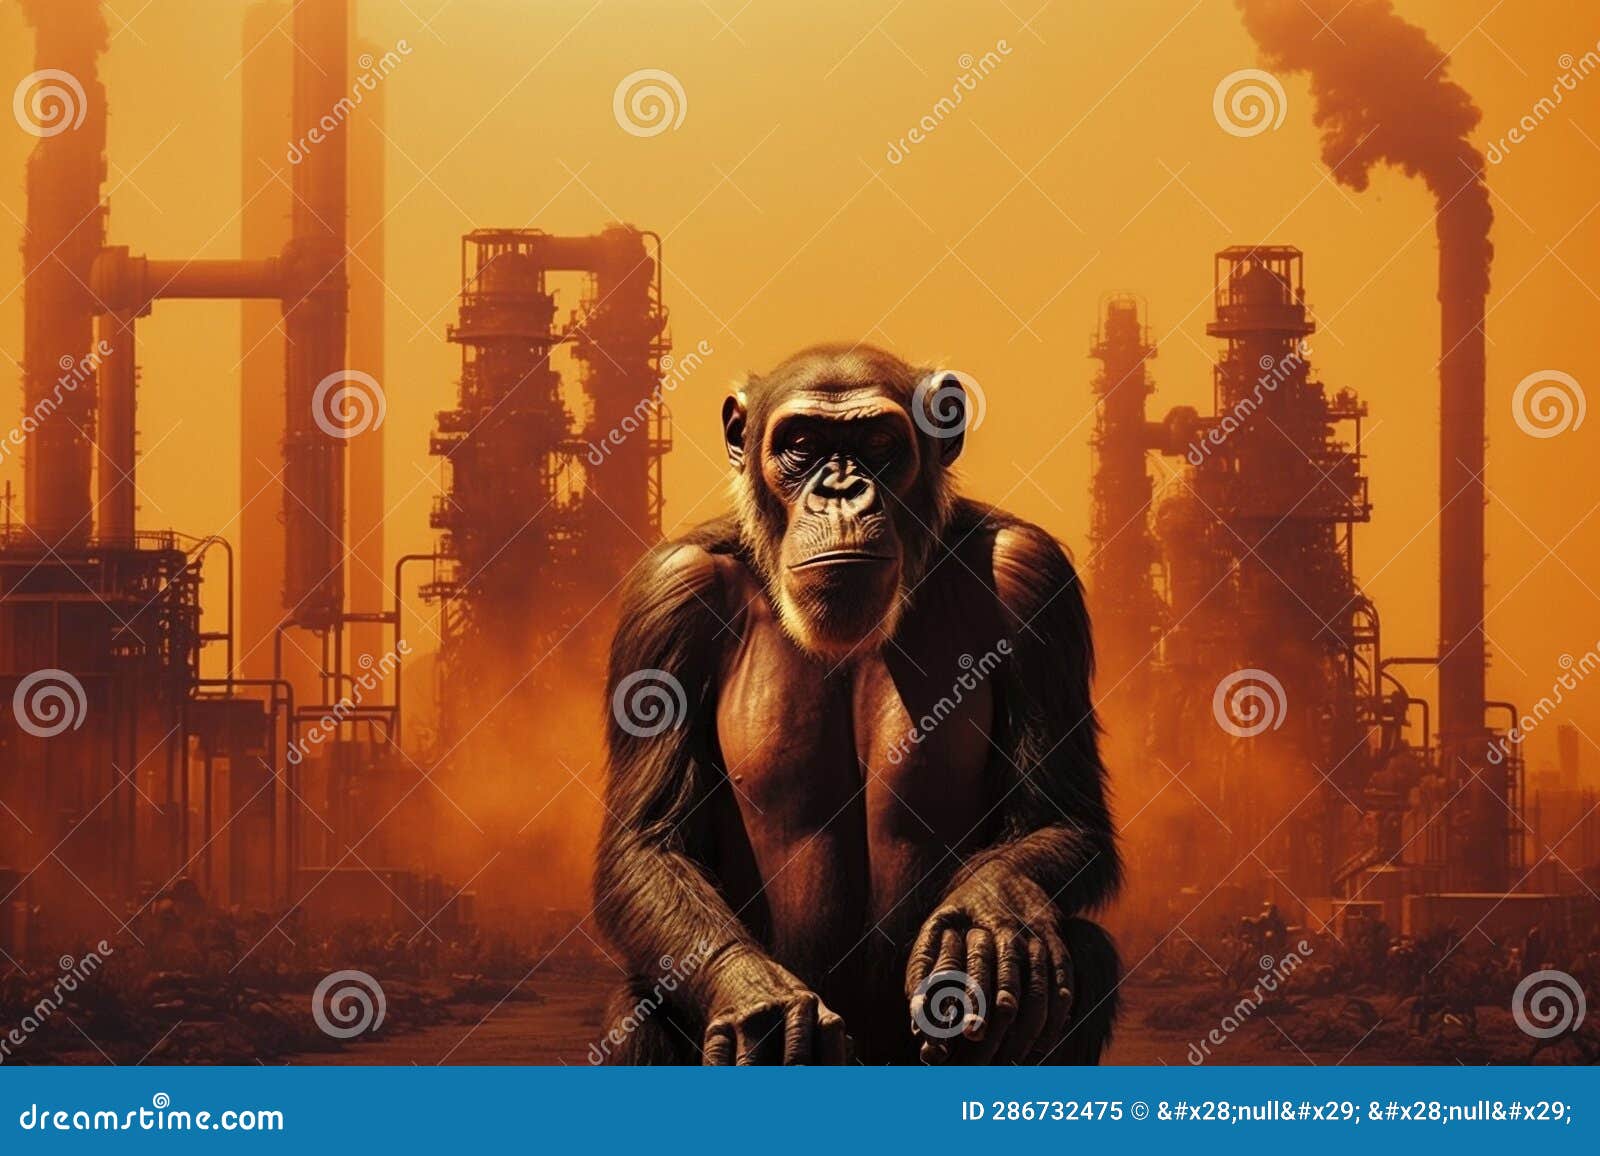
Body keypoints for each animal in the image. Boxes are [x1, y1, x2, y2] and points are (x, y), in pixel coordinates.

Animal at [593, 343, 1121, 1064]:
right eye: (802, 445)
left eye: (877, 444)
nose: (840, 490)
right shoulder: (669, 598)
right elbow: (650, 836)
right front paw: (758, 999)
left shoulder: (1036, 580)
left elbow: (1060, 813)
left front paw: (990, 919)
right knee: (642, 1002)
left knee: (1084, 957)